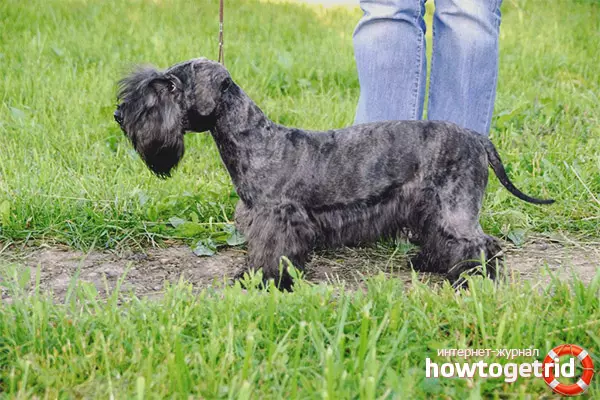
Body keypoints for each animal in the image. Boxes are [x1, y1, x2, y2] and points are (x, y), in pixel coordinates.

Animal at [115, 57, 556, 290]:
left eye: (171, 86)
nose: (120, 115)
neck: (256, 139)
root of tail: (478, 139)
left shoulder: (277, 218)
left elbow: (270, 252)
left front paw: (261, 281)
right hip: (437, 207)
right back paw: (431, 264)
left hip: (455, 206)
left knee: (481, 243)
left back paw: (474, 279)